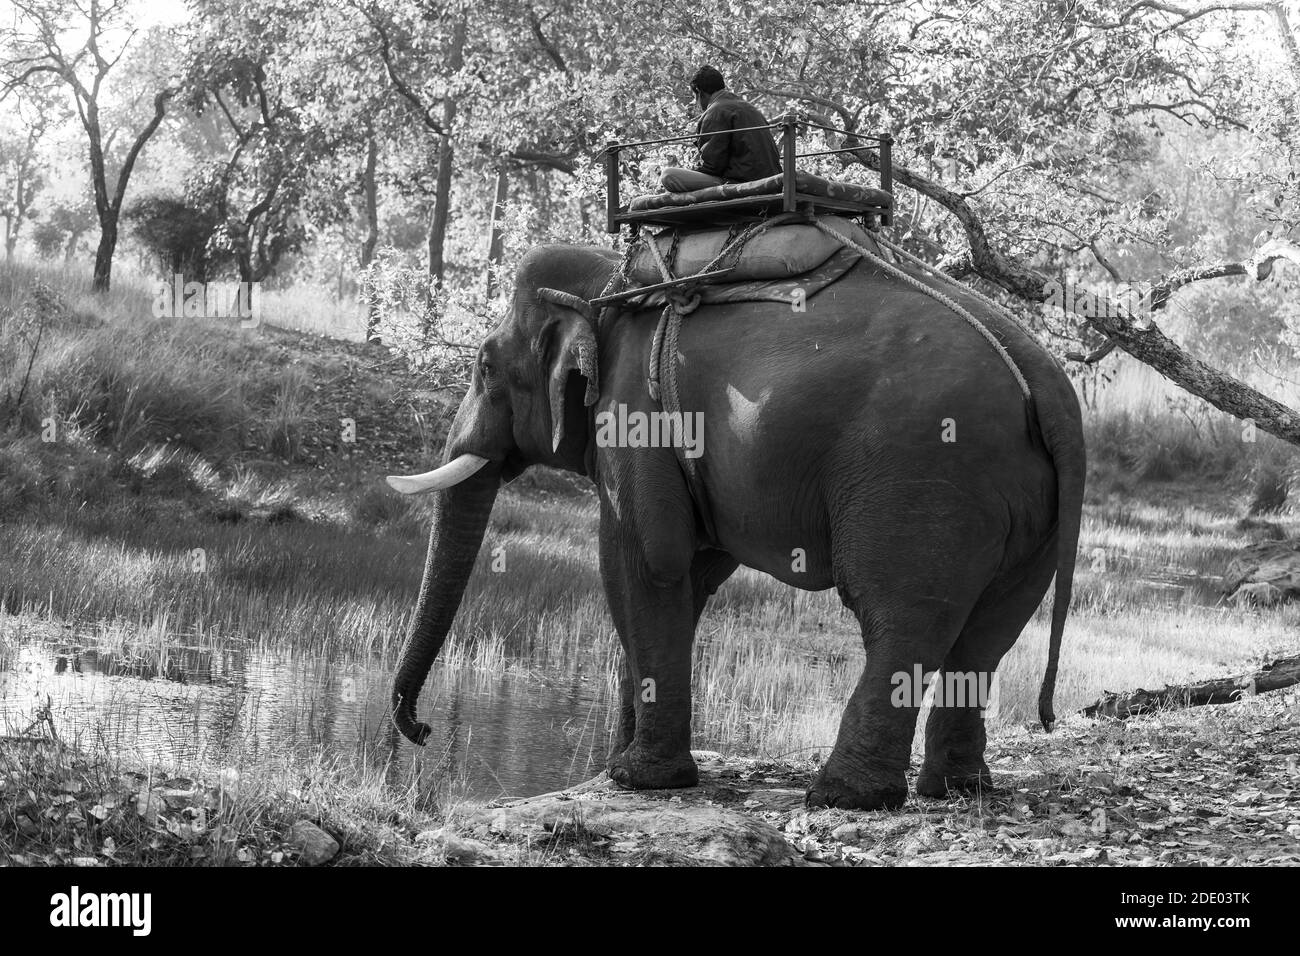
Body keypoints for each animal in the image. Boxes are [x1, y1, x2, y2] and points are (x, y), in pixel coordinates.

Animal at [386, 240, 1085, 810]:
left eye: (483, 368)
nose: (421, 730)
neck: (609, 279)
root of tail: (1049, 385)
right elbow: (689, 576)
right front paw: (617, 766)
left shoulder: (634, 411)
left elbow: (643, 562)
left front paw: (637, 780)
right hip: (1030, 511)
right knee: (989, 630)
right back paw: (957, 789)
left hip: (922, 477)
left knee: (902, 619)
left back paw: (845, 796)